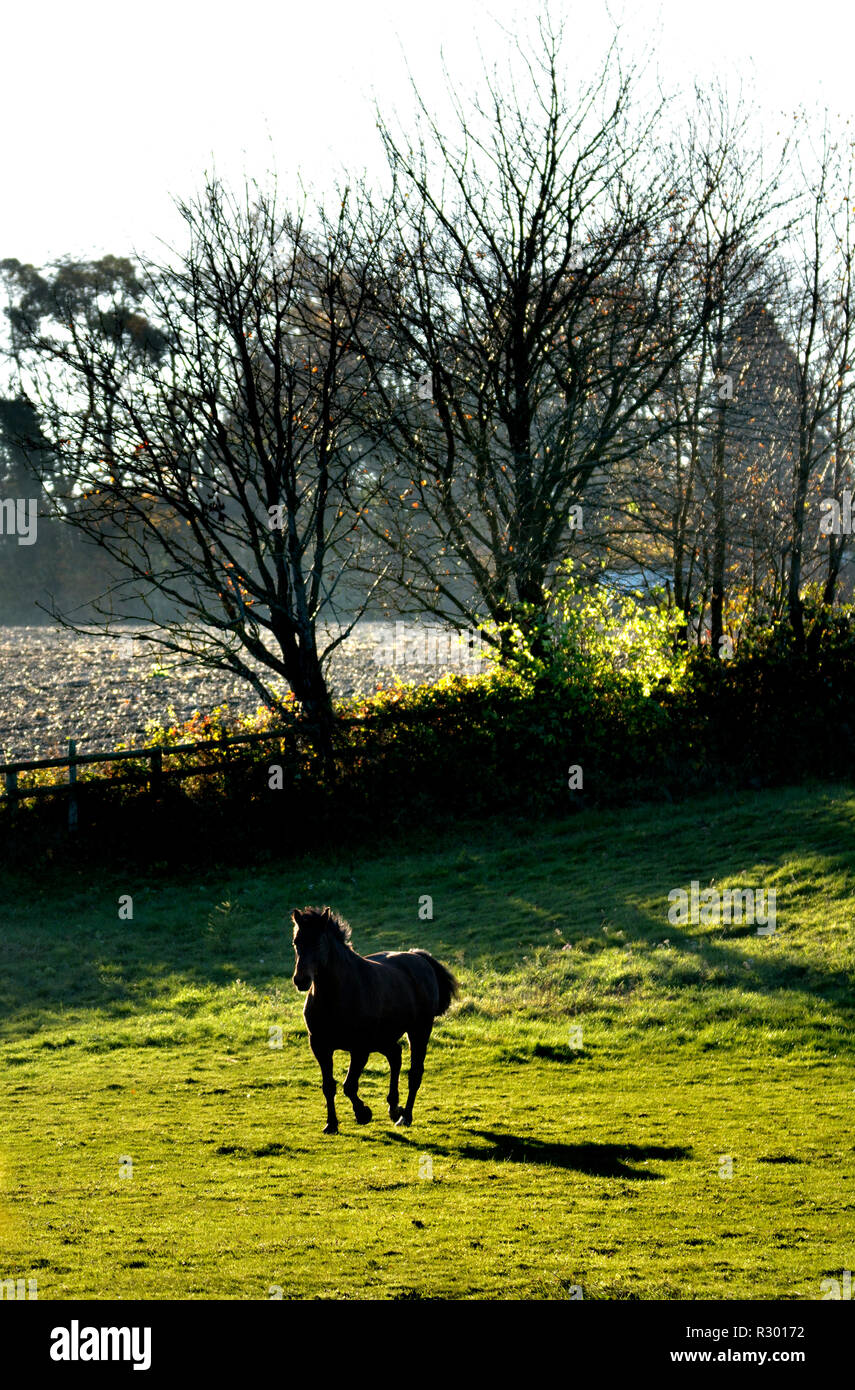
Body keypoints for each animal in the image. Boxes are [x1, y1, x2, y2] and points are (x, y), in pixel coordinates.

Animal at [290, 905, 458, 1133]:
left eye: (318, 942)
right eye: (296, 942)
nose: (301, 980)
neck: (337, 995)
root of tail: (418, 957)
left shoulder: (360, 1048)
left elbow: (349, 1086)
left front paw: (363, 1113)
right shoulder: (319, 1045)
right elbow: (329, 1086)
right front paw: (331, 1124)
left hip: (419, 1031)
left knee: (414, 1073)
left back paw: (404, 1116)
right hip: (383, 1038)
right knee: (395, 1055)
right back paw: (394, 1108)